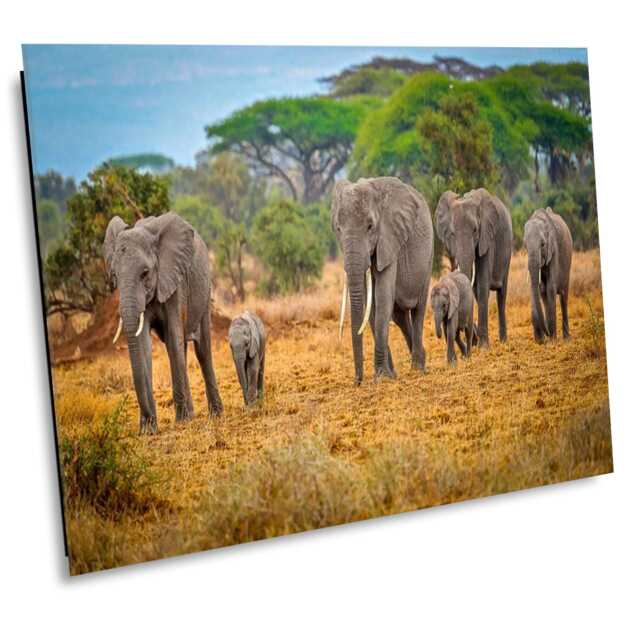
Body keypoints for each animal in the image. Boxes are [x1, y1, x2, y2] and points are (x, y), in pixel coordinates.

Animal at [103, 212, 223, 434]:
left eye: (144, 273)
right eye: (114, 275)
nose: (148, 422)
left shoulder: (174, 282)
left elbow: (174, 335)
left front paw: (182, 422)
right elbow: (144, 343)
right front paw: (148, 430)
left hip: (205, 290)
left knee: (202, 350)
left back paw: (215, 414)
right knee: (182, 349)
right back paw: (192, 414)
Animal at [331, 177, 434, 383]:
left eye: (370, 226)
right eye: (338, 228)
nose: (357, 381)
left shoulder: (389, 240)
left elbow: (382, 296)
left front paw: (382, 377)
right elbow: (371, 305)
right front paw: (389, 375)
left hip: (428, 257)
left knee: (418, 310)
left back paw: (418, 367)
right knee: (399, 316)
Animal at [435, 188, 513, 347]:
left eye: (476, 230)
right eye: (452, 233)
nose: (473, 340)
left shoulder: (487, 238)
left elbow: (483, 285)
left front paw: (483, 346)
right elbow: (475, 288)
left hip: (507, 251)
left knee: (502, 294)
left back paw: (503, 342)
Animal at [523, 207, 573, 342]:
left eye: (543, 244)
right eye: (525, 246)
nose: (545, 334)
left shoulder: (554, 249)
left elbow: (551, 287)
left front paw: (552, 340)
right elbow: (538, 288)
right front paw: (541, 341)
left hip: (567, 265)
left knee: (563, 297)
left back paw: (566, 339)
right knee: (544, 292)